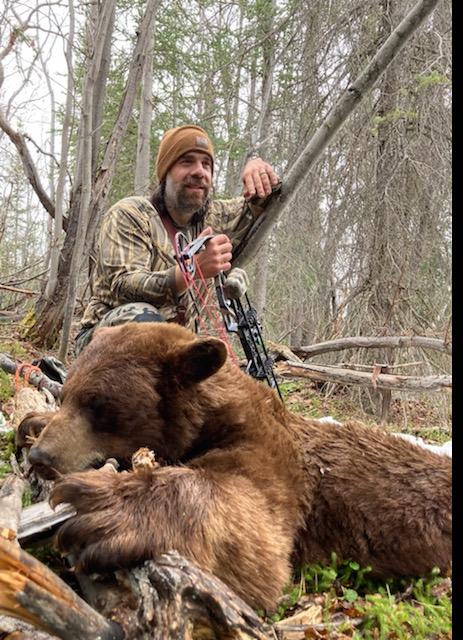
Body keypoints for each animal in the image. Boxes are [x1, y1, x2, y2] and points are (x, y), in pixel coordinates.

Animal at [20, 322, 452, 611]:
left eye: (98, 405)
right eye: (69, 393)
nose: (42, 458)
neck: (215, 416)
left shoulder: (276, 459)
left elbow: (257, 530)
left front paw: (107, 509)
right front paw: (33, 422)